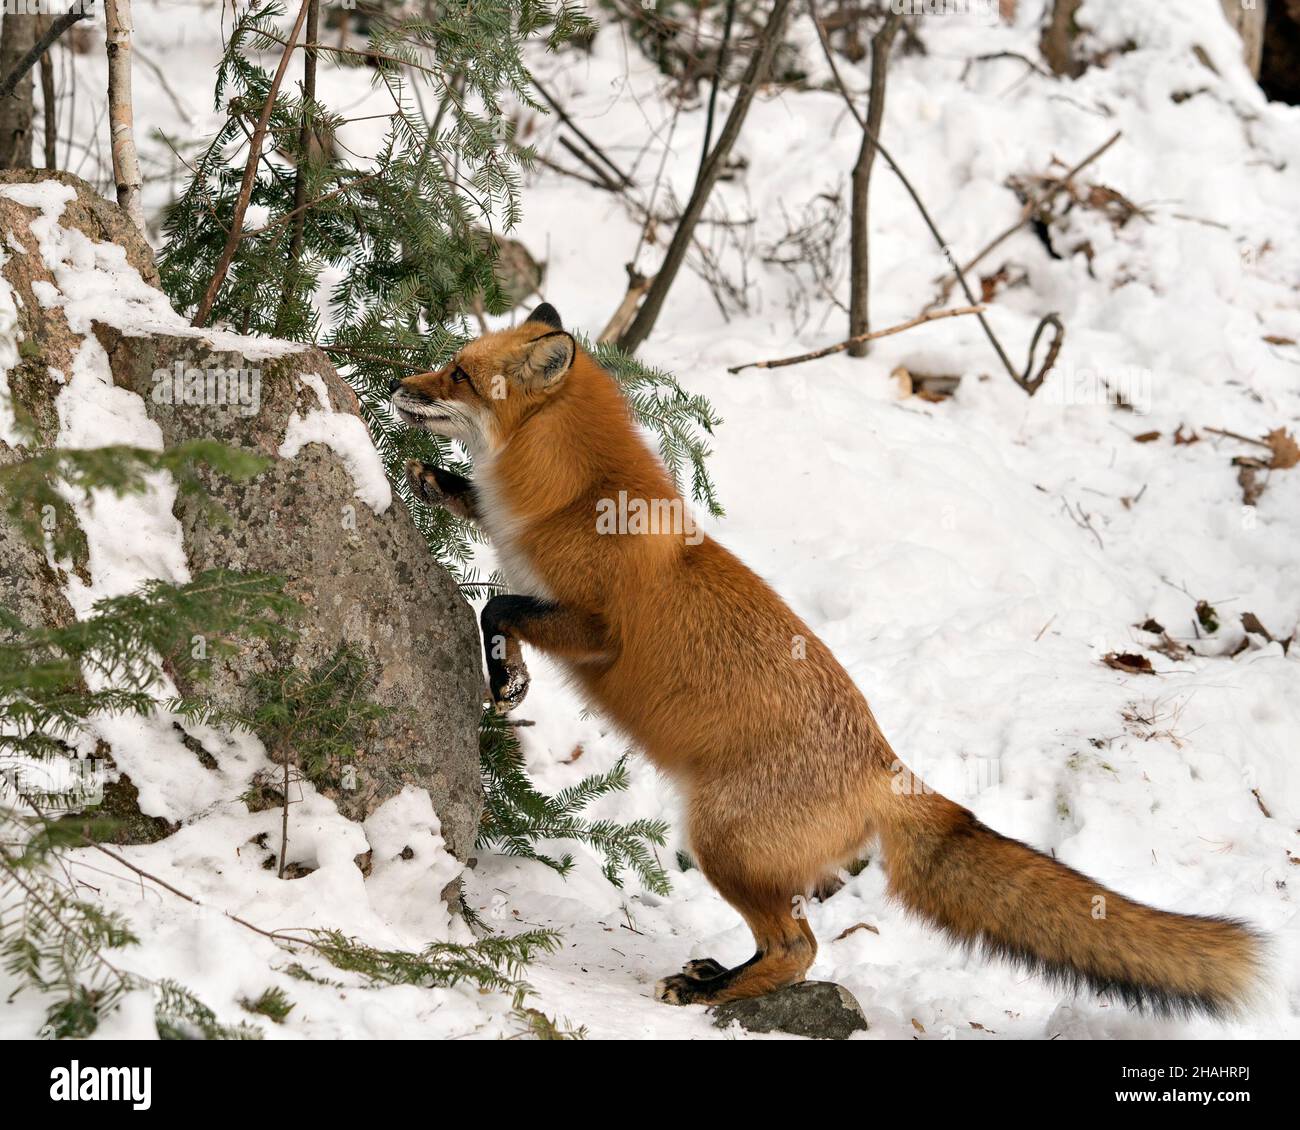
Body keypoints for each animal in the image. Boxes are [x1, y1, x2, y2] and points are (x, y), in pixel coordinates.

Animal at [390, 302, 1263, 1016]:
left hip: (722, 845)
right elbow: (486, 547)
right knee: (797, 939)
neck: (573, 495)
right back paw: (723, 972)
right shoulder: (519, 550)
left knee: (800, 950)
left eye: (457, 373)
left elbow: (496, 607)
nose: (398, 380)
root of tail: (885, 765)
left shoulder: (597, 628)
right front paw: (435, 486)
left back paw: (711, 993)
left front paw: (506, 675)